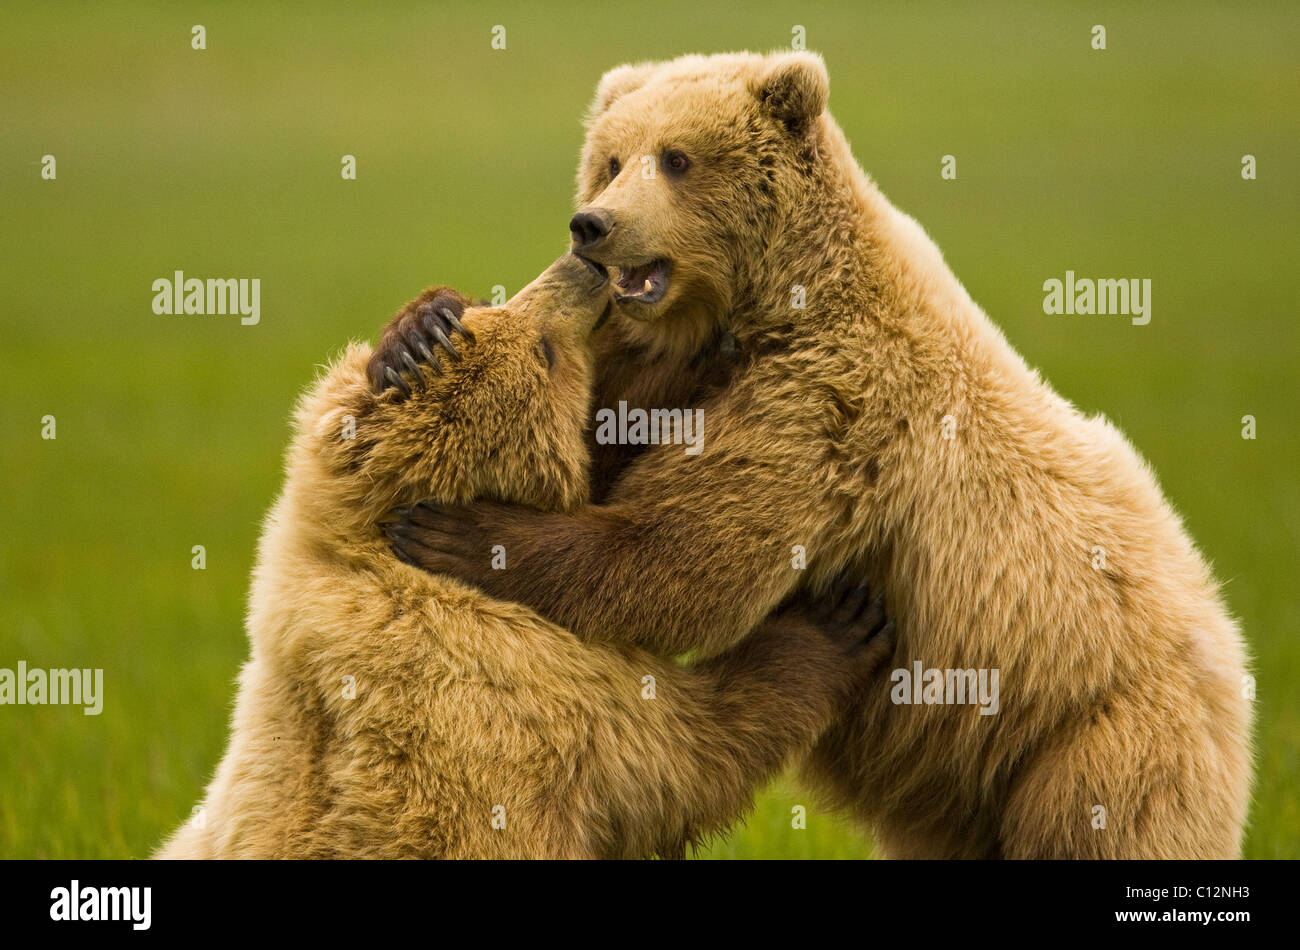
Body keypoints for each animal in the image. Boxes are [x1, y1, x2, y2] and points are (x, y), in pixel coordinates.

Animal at [154, 253, 893, 859]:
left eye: (493, 305)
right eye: (545, 352)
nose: (583, 267)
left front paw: (420, 327)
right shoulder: (533, 686)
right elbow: (685, 755)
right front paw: (837, 623)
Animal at [386, 52, 1254, 858]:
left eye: (677, 157)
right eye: (611, 158)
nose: (592, 224)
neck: (769, 303)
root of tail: (1227, 634)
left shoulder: (831, 404)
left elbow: (684, 559)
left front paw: (456, 531)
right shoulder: (687, 372)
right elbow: (587, 443)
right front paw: (420, 330)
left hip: (1099, 738)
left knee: (1095, 823)